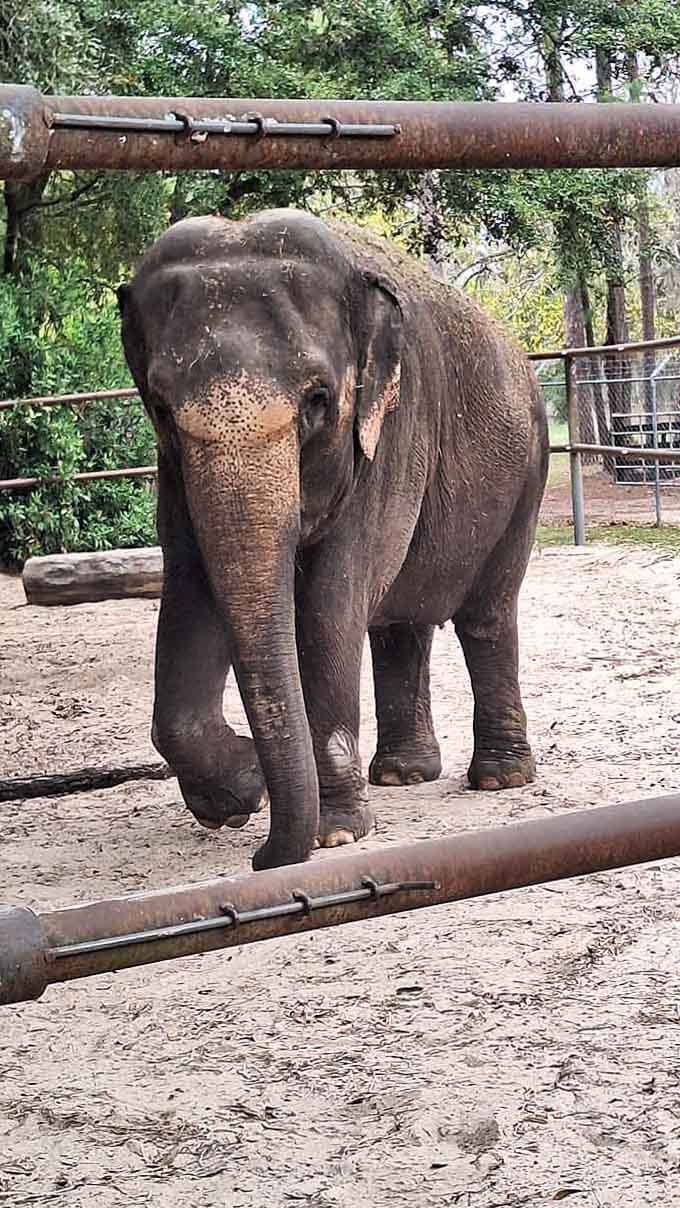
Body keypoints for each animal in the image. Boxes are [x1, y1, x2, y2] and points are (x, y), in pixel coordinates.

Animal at [118, 209, 549, 871]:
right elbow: (191, 586)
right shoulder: (174, 470)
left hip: (526, 476)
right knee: (400, 625)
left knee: (486, 616)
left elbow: (329, 604)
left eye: (318, 400)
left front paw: (335, 834)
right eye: (161, 407)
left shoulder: (393, 429)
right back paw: (402, 775)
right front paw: (240, 794)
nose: (261, 858)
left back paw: (498, 779)